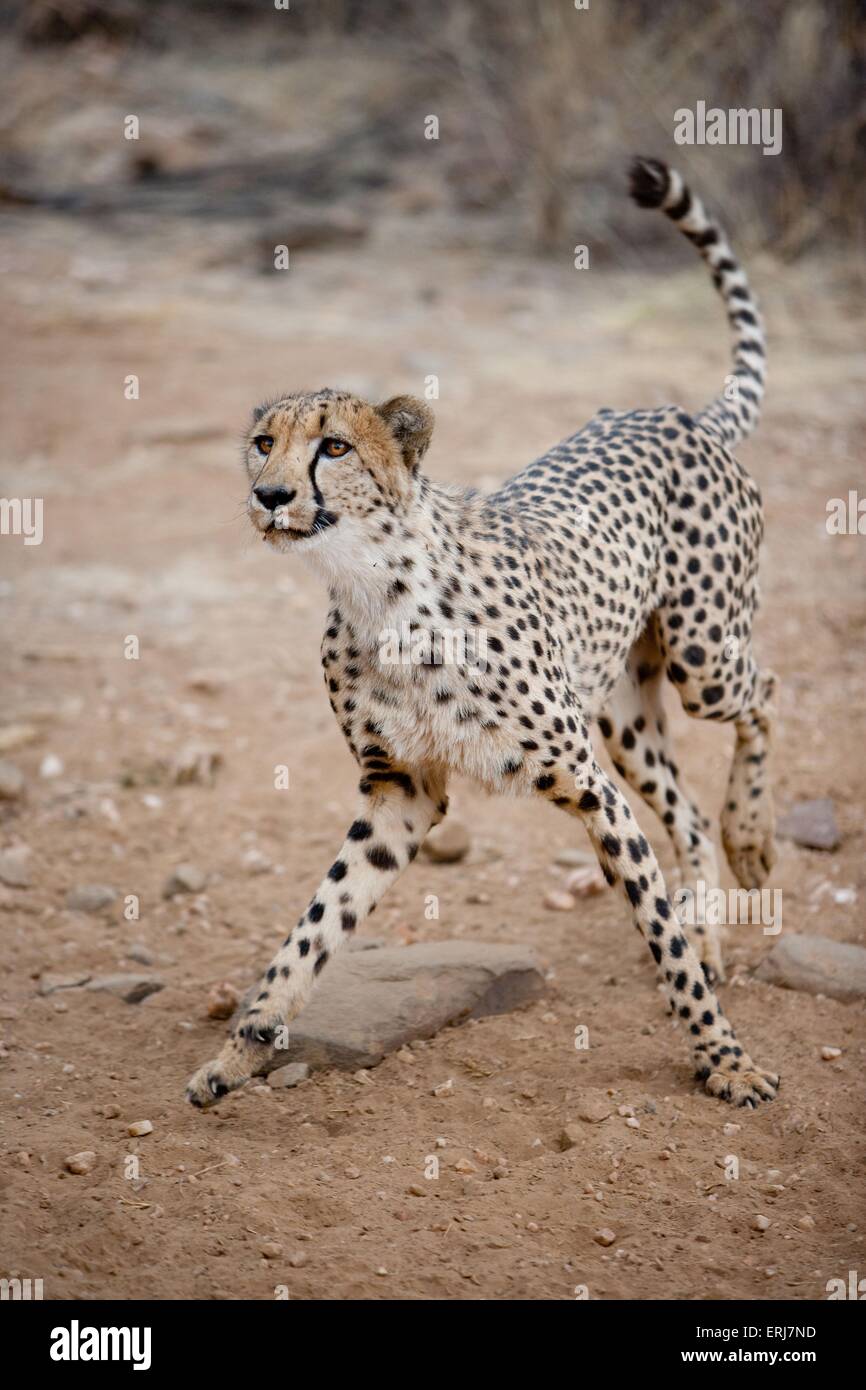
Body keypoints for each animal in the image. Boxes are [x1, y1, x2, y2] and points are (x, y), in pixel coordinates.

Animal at [186, 156, 779, 1111]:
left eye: (334, 448)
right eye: (263, 441)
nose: (269, 496)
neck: (375, 590)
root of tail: (675, 414)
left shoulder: (582, 782)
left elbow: (656, 934)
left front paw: (724, 1059)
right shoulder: (400, 790)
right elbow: (314, 927)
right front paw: (238, 1052)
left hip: (701, 656)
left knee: (765, 699)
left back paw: (753, 841)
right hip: (622, 709)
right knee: (685, 809)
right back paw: (714, 925)